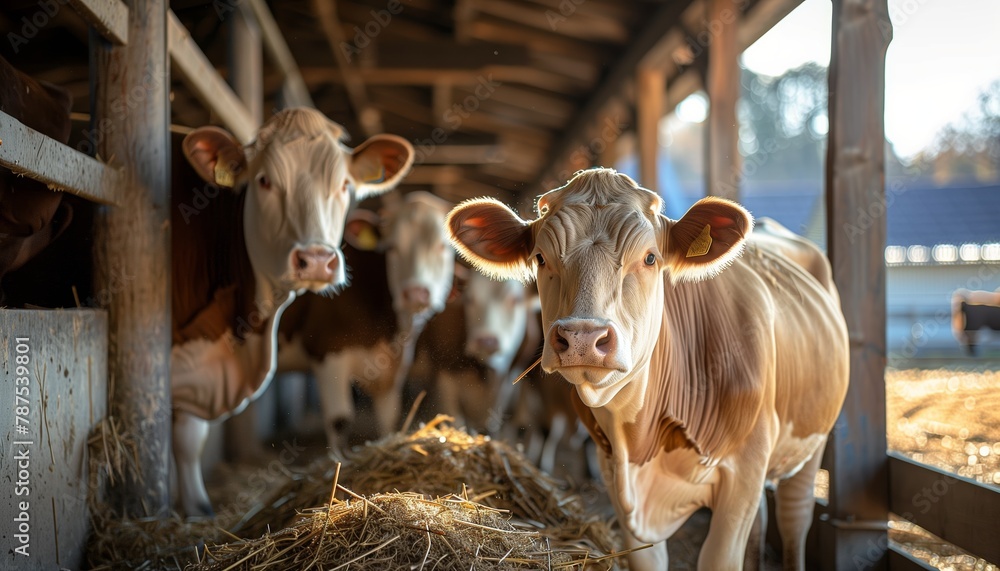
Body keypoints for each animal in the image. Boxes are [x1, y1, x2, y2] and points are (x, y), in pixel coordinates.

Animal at [276, 191, 455, 452]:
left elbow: (388, 420)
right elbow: (339, 420)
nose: (415, 293)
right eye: (391, 247)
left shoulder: (392, 372)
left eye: (444, 246)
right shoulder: (327, 350)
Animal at [446, 168, 849, 570]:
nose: (582, 337)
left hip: (811, 440)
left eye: (651, 257)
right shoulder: (617, 476)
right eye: (541, 258)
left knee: (794, 517)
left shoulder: (743, 476)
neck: (642, 442)